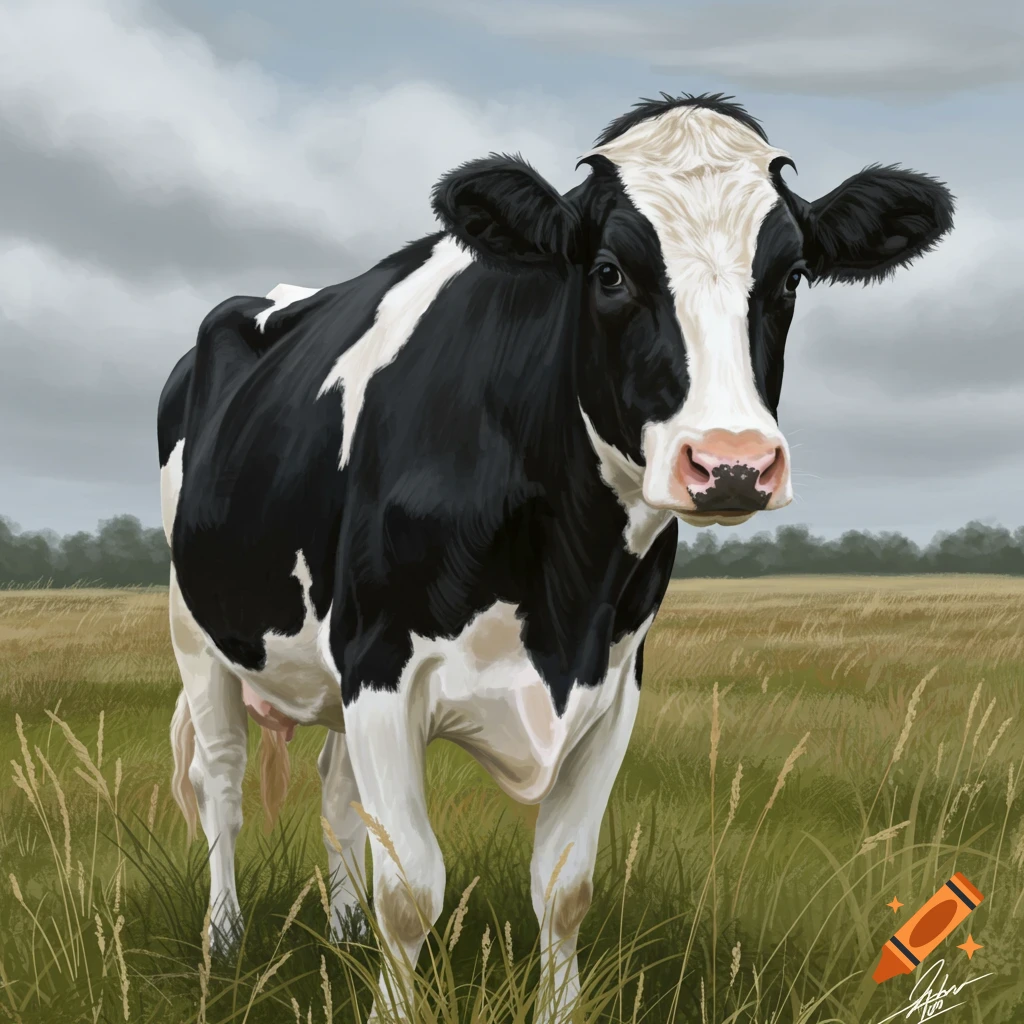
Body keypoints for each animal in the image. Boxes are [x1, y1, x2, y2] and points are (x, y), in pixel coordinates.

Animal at [158, 92, 953, 1020]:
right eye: (608, 271)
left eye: (791, 276)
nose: (732, 463)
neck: (562, 590)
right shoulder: (383, 663)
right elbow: (412, 888)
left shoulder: (613, 684)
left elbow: (564, 884)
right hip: (198, 630)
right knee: (221, 784)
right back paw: (224, 943)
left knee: (335, 786)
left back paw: (343, 933)